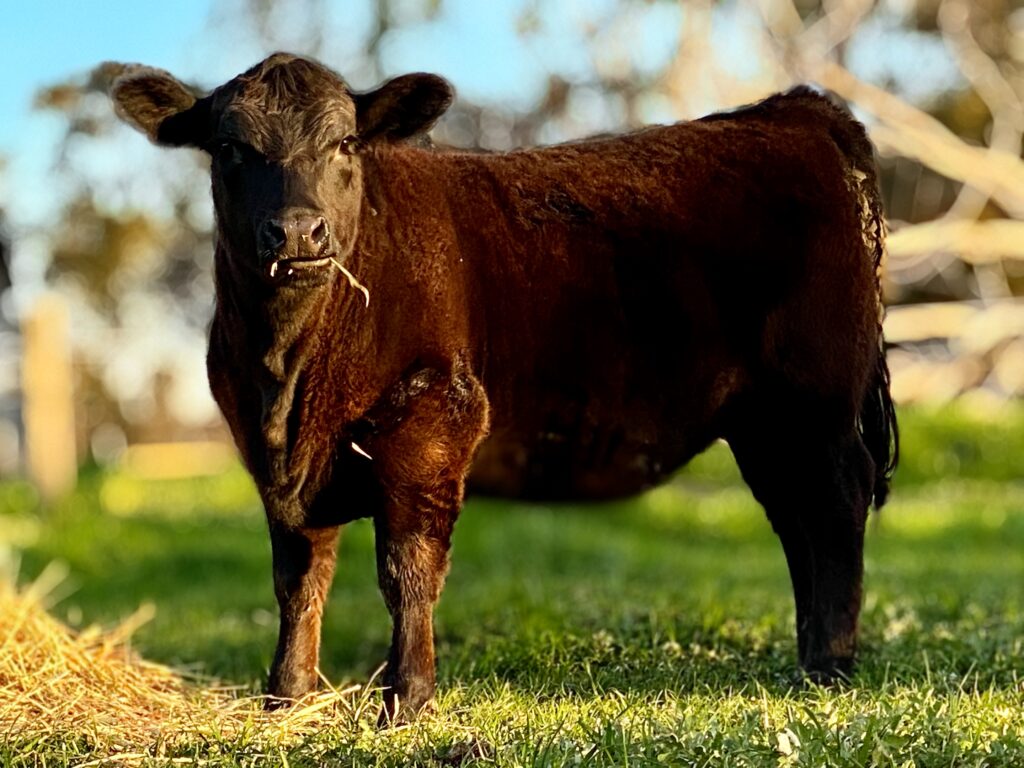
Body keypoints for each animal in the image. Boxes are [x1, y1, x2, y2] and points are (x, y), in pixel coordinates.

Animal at [110, 53, 898, 722]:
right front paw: (286, 698)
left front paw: (408, 699)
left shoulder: (433, 421)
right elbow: (299, 578)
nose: (299, 233)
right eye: (231, 148)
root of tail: (792, 111)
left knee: (834, 507)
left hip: (815, 404)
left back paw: (830, 665)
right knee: (797, 520)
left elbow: (407, 569)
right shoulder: (277, 463)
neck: (287, 379)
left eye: (345, 144)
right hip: (766, 425)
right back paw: (807, 657)